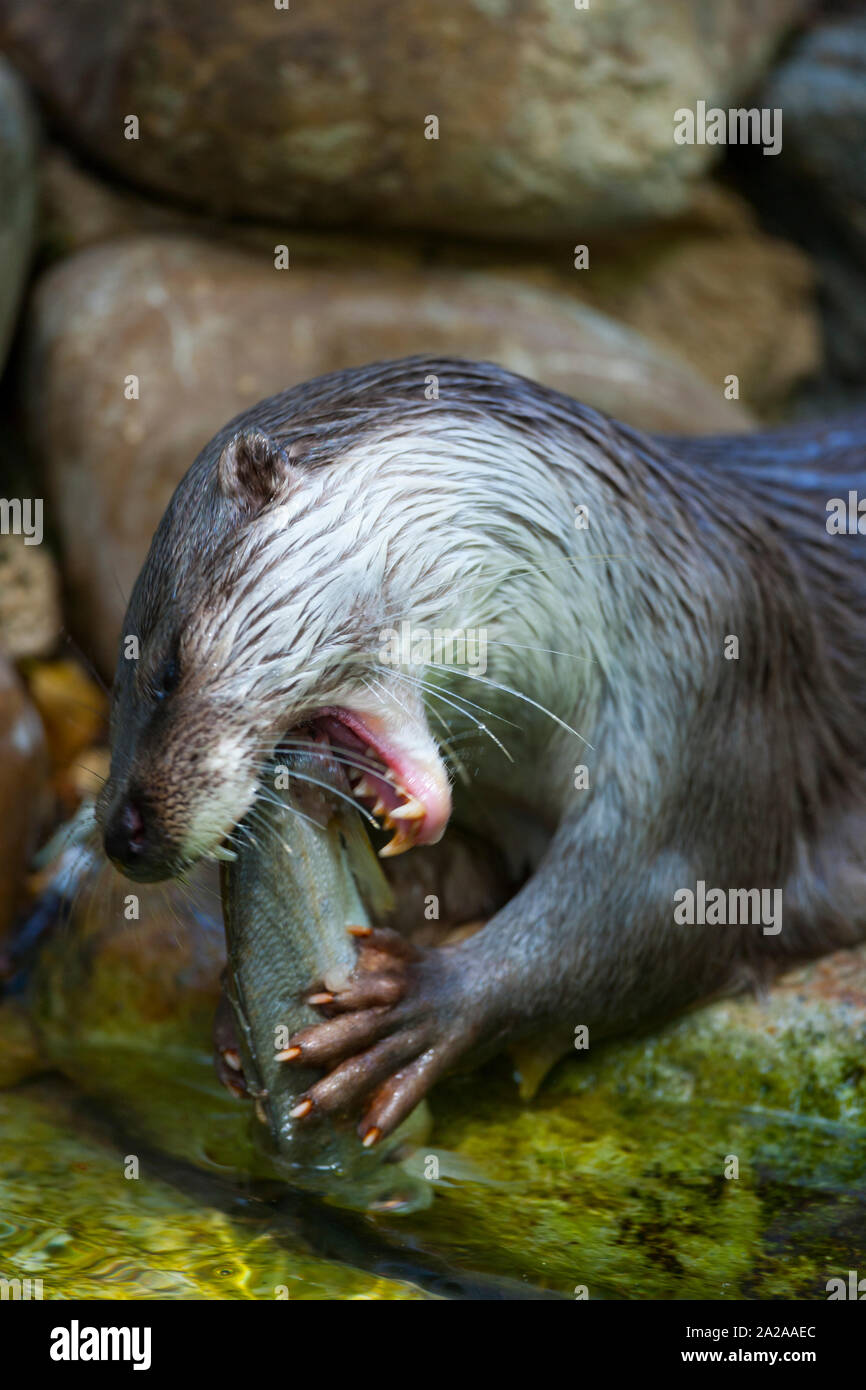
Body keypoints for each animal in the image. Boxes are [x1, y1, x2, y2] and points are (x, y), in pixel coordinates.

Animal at [99, 356, 866, 1145]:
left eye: (166, 671)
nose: (120, 833)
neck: (625, 576)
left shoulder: (714, 670)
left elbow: (664, 899)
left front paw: (427, 1003)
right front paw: (232, 1010)